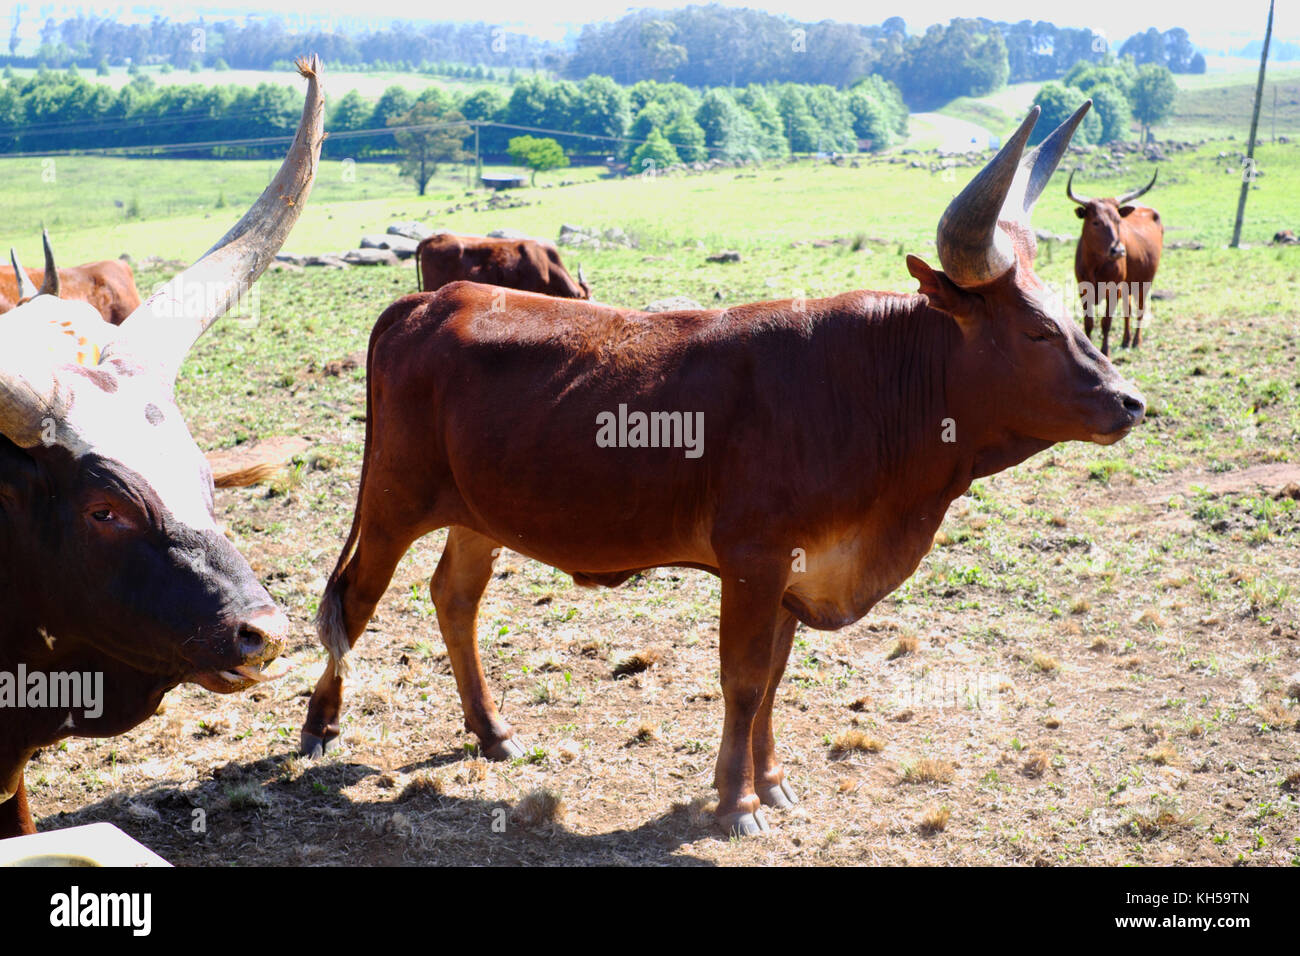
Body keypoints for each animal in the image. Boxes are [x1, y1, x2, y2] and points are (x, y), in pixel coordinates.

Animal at [1068, 168, 1163, 355]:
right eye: (1095, 222)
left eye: (1118, 221)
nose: (1118, 251)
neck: (1095, 265)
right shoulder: (1083, 289)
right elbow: (1088, 323)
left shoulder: (1113, 290)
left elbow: (1106, 323)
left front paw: (1105, 352)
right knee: (1128, 309)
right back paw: (1125, 341)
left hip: (1145, 281)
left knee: (1139, 309)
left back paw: (1136, 341)